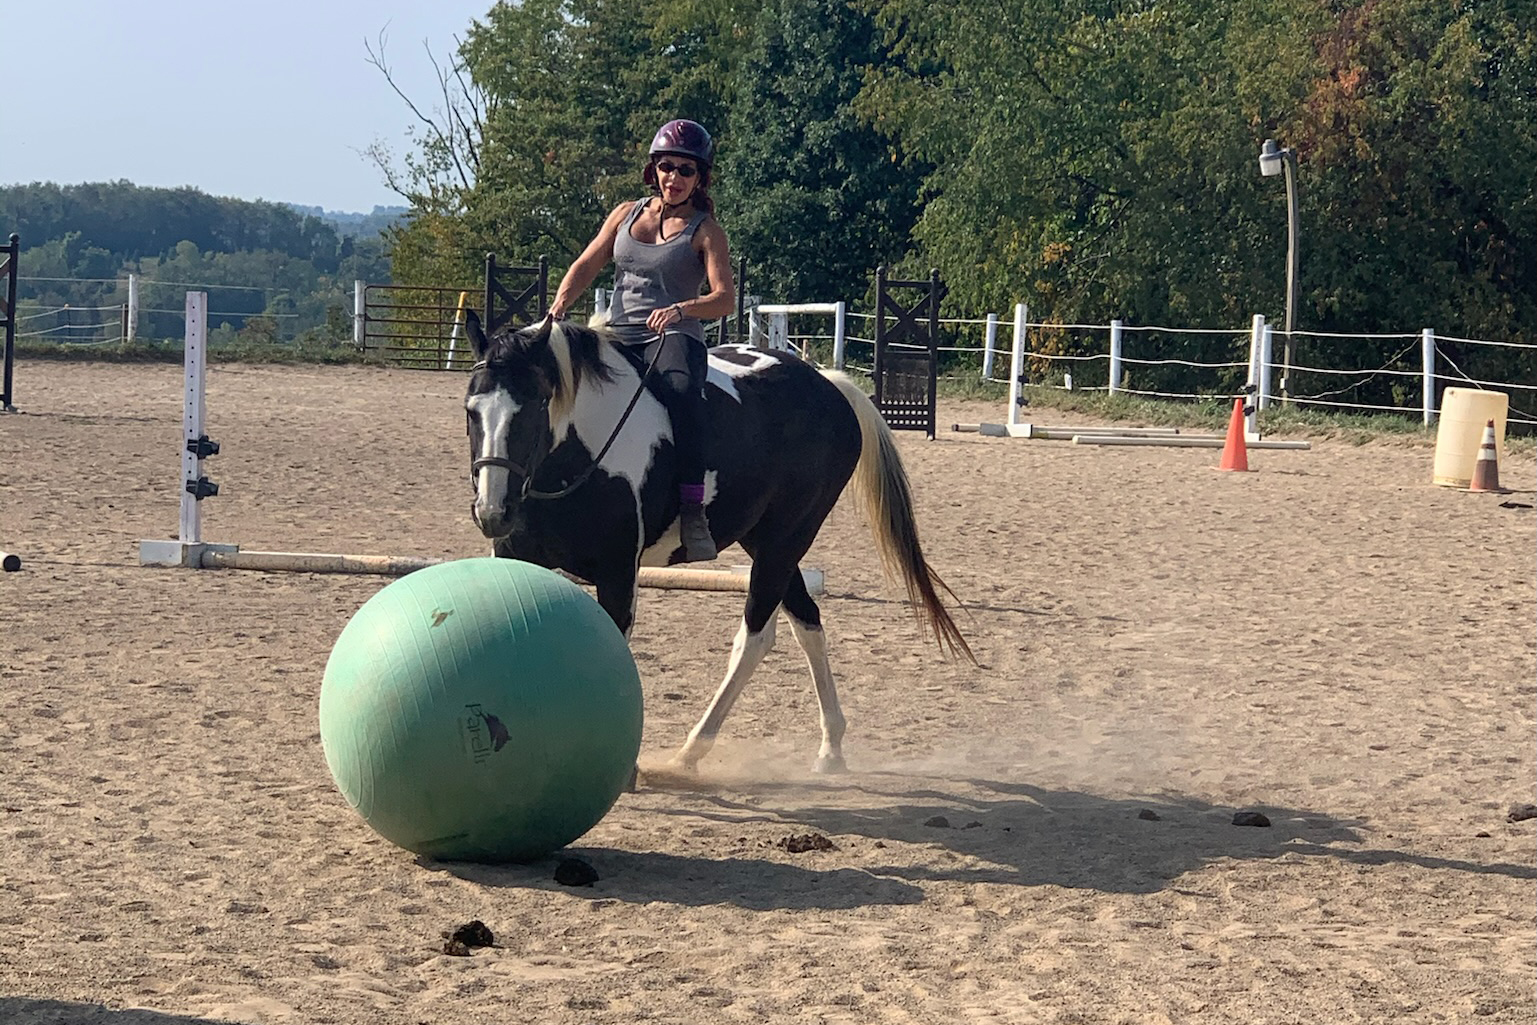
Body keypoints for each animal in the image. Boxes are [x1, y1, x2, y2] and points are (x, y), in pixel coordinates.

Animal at [461, 310, 972, 773]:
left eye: (534, 404)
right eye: (472, 411)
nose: (492, 511)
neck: (575, 456)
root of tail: (828, 387)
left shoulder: (618, 575)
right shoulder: (518, 560)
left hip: (785, 540)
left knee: (755, 637)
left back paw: (693, 750)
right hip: (766, 543)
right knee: (807, 622)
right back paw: (830, 748)